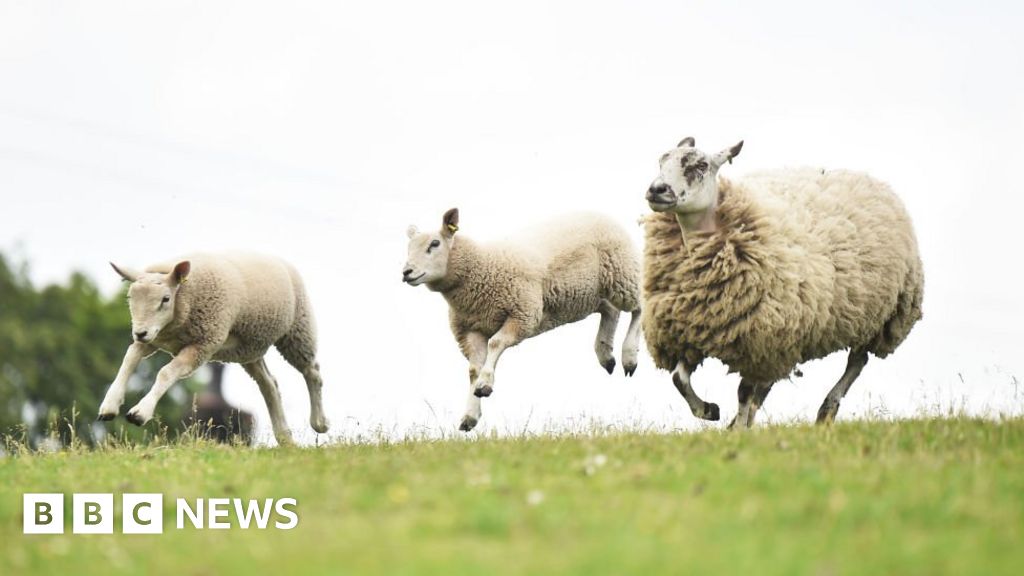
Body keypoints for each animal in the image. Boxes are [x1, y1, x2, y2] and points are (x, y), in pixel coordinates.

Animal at [97, 252, 327, 446]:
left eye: (165, 299)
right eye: (130, 298)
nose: (139, 332)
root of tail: (275, 257)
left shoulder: (202, 346)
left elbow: (166, 373)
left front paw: (140, 413)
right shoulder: (153, 339)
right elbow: (128, 359)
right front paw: (109, 406)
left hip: (297, 330)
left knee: (312, 372)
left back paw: (320, 423)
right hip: (250, 348)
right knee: (270, 385)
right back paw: (285, 438)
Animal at [402, 208, 642, 431]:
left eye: (434, 243)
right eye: (409, 247)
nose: (406, 272)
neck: (479, 268)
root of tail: (601, 214)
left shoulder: (522, 314)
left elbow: (495, 343)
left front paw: (485, 384)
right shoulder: (470, 330)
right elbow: (473, 370)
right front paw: (470, 414)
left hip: (622, 274)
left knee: (639, 307)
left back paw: (629, 357)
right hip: (590, 293)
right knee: (611, 311)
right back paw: (605, 354)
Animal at [642, 137, 924, 427]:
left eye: (701, 165)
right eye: (662, 161)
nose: (656, 190)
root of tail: (870, 178)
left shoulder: (759, 341)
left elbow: (744, 391)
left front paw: (738, 427)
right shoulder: (691, 336)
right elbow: (679, 378)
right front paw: (710, 411)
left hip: (879, 318)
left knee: (856, 362)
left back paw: (826, 410)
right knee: (771, 384)